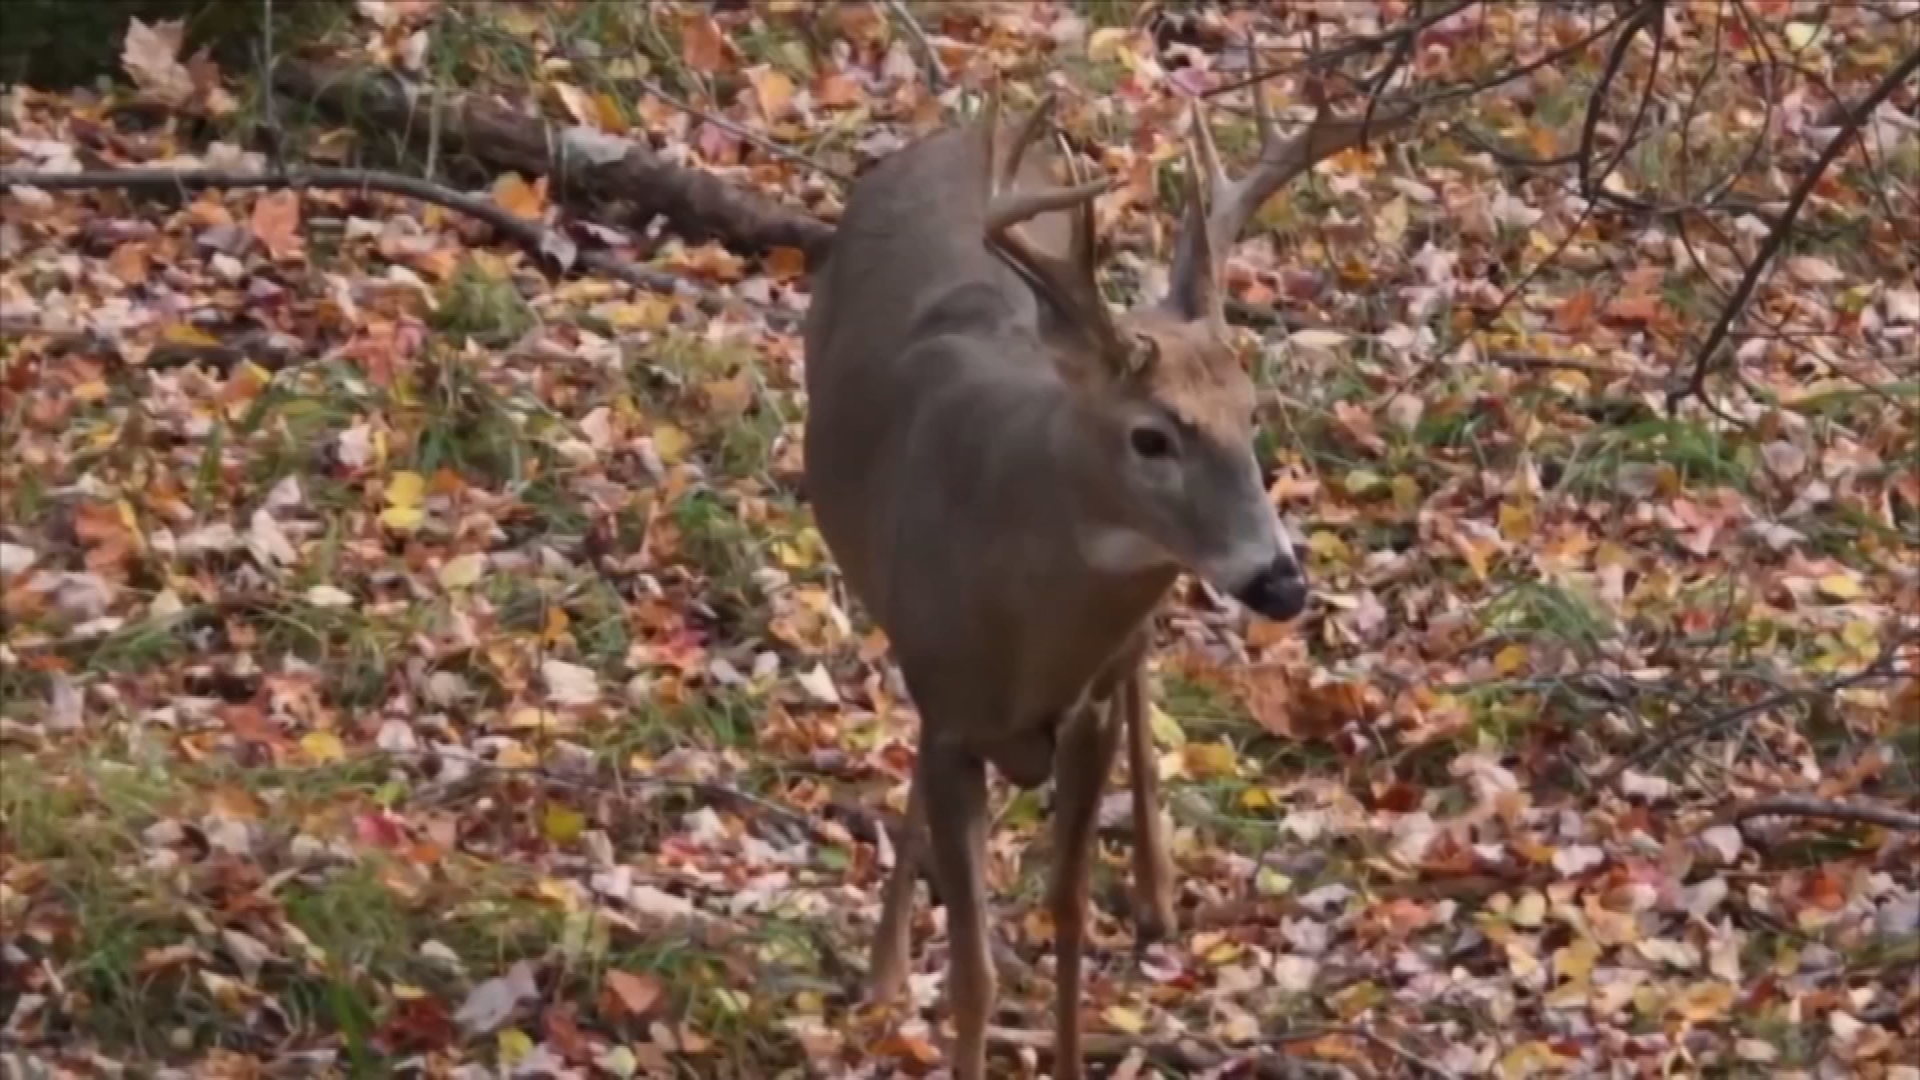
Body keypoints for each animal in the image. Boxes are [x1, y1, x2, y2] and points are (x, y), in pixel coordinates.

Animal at [802, 71, 1409, 1079]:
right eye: (1152, 435)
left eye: (1251, 410)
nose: (1280, 581)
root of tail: (962, 135)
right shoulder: (948, 710)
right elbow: (973, 967)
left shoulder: (1080, 714)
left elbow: (1069, 914)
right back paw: (883, 971)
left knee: (1138, 674)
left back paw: (1157, 895)